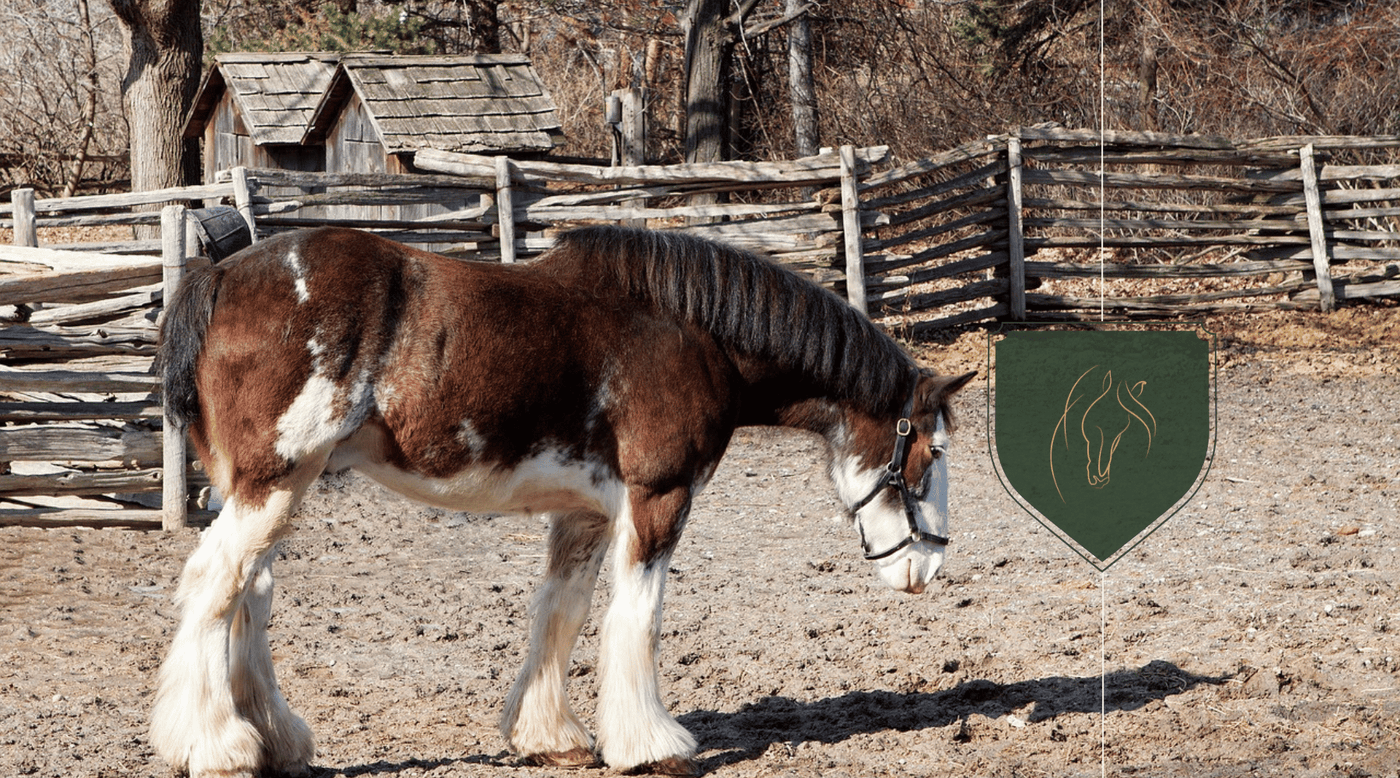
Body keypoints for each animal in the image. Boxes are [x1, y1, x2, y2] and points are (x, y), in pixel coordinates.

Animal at [151, 225, 977, 777]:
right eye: (933, 453)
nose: (929, 566)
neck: (691, 332)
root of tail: (217, 277)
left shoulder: (584, 513)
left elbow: (563, 612)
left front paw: (549, 735)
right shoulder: (657, 498)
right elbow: (638, 619)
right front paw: (651, 744)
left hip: (273, 490)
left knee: (247, 596)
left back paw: (275, 739)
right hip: (274, 484)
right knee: (211, 586)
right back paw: (216, 745)